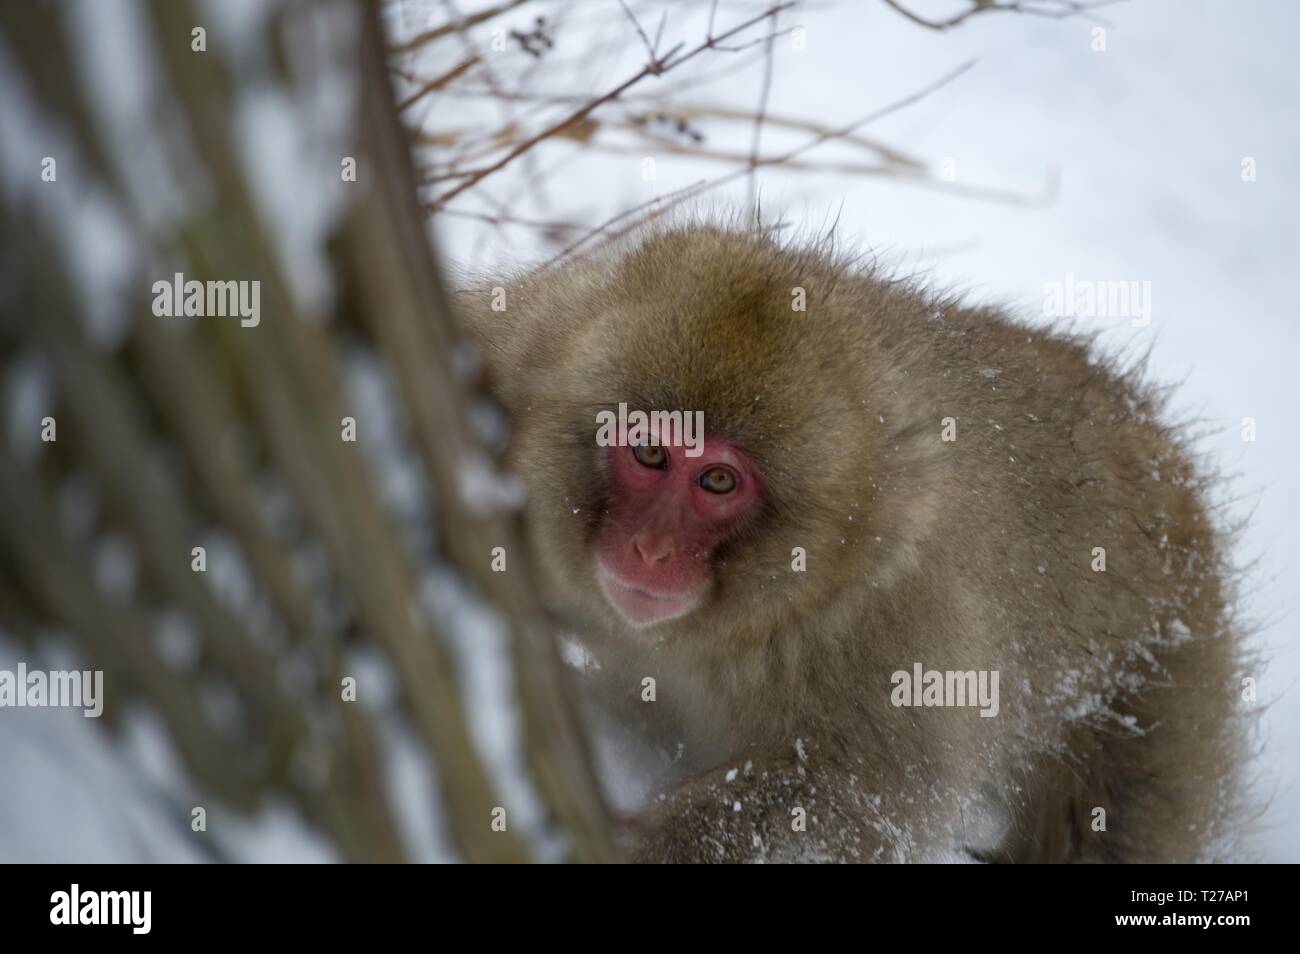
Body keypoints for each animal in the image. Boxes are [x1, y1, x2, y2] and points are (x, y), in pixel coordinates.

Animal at [458, 222, 1250, 863]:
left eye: (717, 480)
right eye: (651, 452)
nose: (650, 549)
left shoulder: (897, 610)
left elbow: (867, 788)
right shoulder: (522, 345)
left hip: (1161, 670)